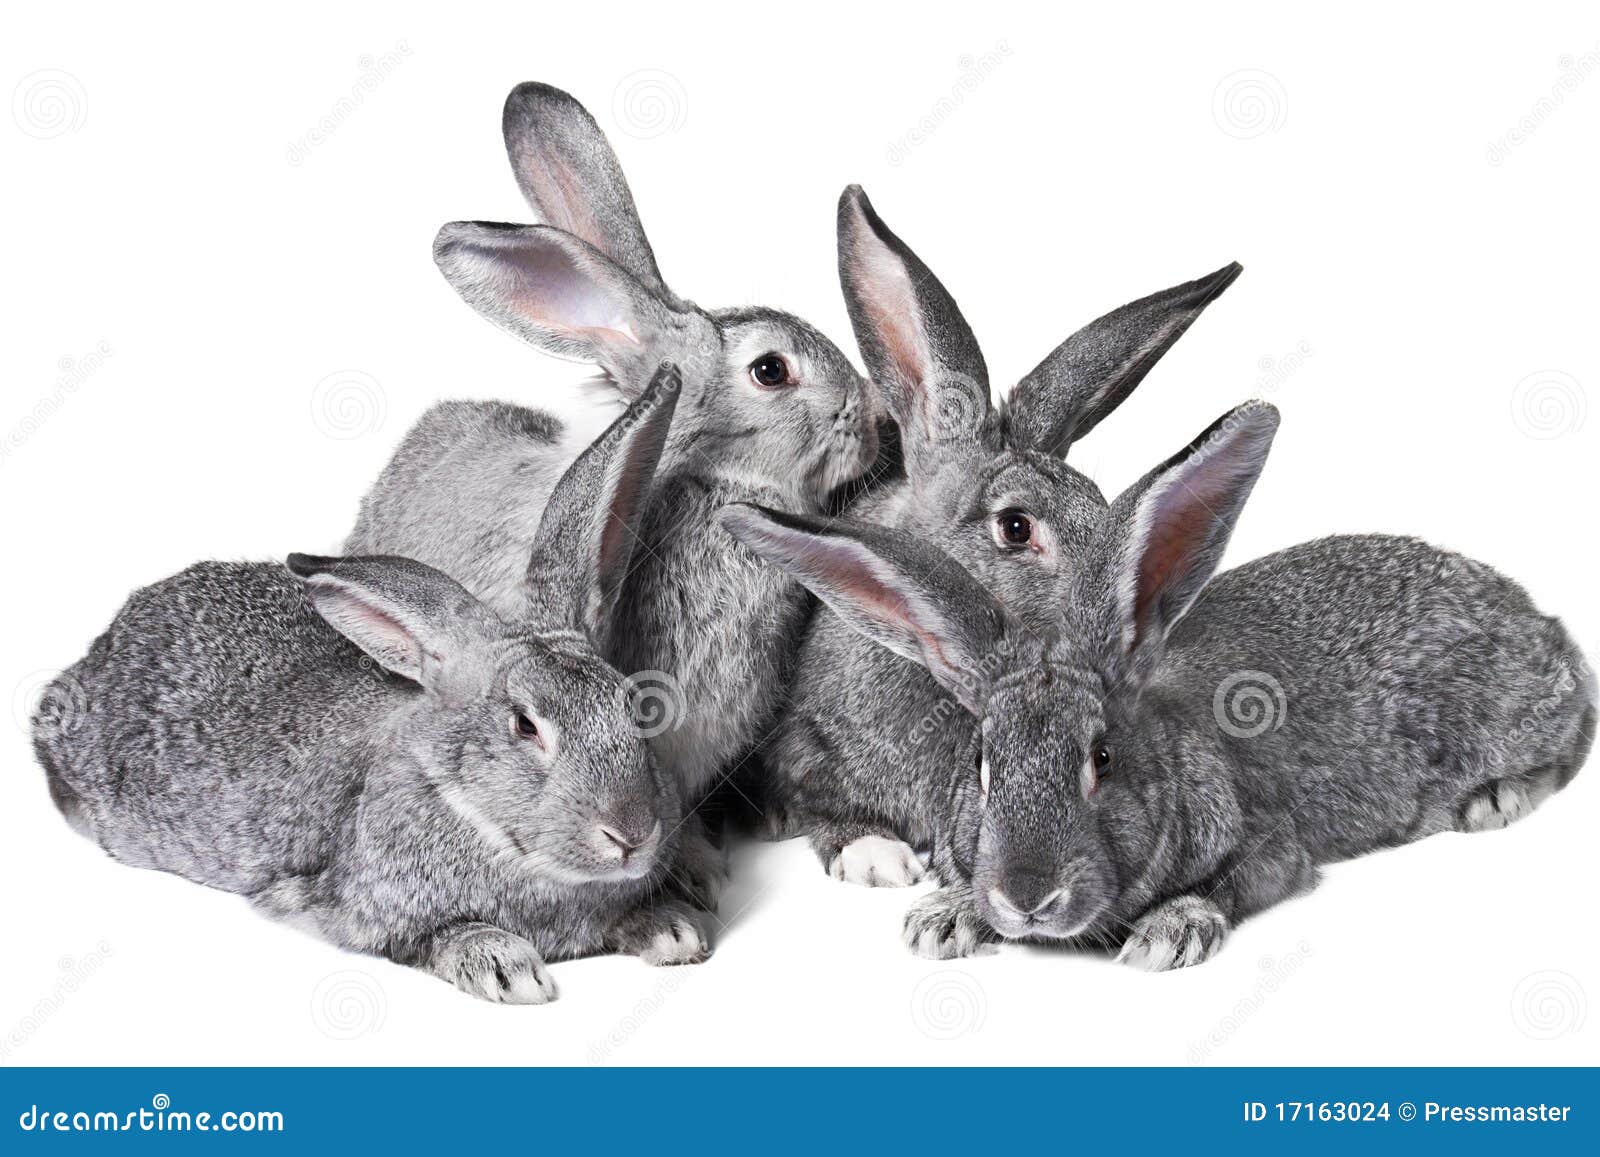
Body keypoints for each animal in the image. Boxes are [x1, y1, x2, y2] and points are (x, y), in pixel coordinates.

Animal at [33, 367, 714, 1003]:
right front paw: (507, 967)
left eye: (635, 706)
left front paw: (672, 930)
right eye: (525, 725)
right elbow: (433, 940)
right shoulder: (354, 912)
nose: (630, 834)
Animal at [723, 399, 1596, 968]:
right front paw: (944, 917)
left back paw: (1491, 800)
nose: (1027, 896)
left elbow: (1239, 882)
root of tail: (1542, 622)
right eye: (981, 764)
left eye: (1101, 759)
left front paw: (1171, 931)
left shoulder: (1269, 843)